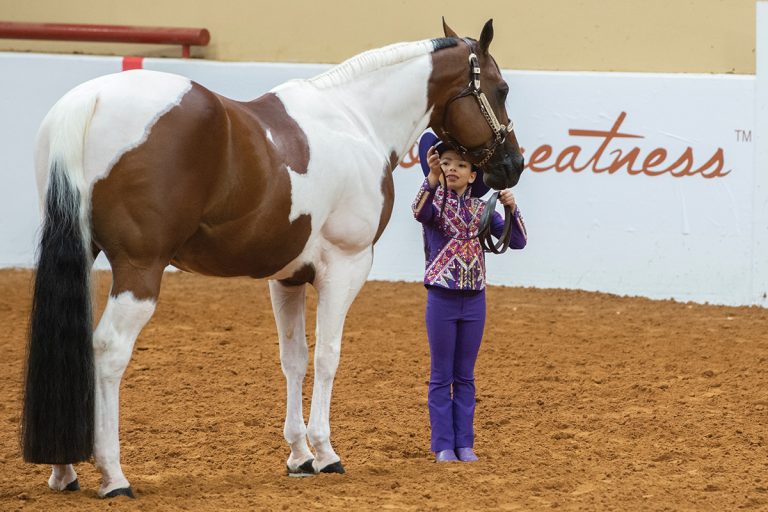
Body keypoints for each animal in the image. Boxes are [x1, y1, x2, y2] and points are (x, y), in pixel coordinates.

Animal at [21, 18, 524, 498]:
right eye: (500, 88)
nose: (513, 164)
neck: (355, 119)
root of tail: (90, 99)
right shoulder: (345, 266)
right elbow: (328, 356)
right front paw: (325, 452)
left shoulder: (287, 277)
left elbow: (294, 358)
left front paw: (299, 456)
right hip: (139, 270)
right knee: (107, 351)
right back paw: (113, 475)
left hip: (80, 253)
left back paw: (64, 471)